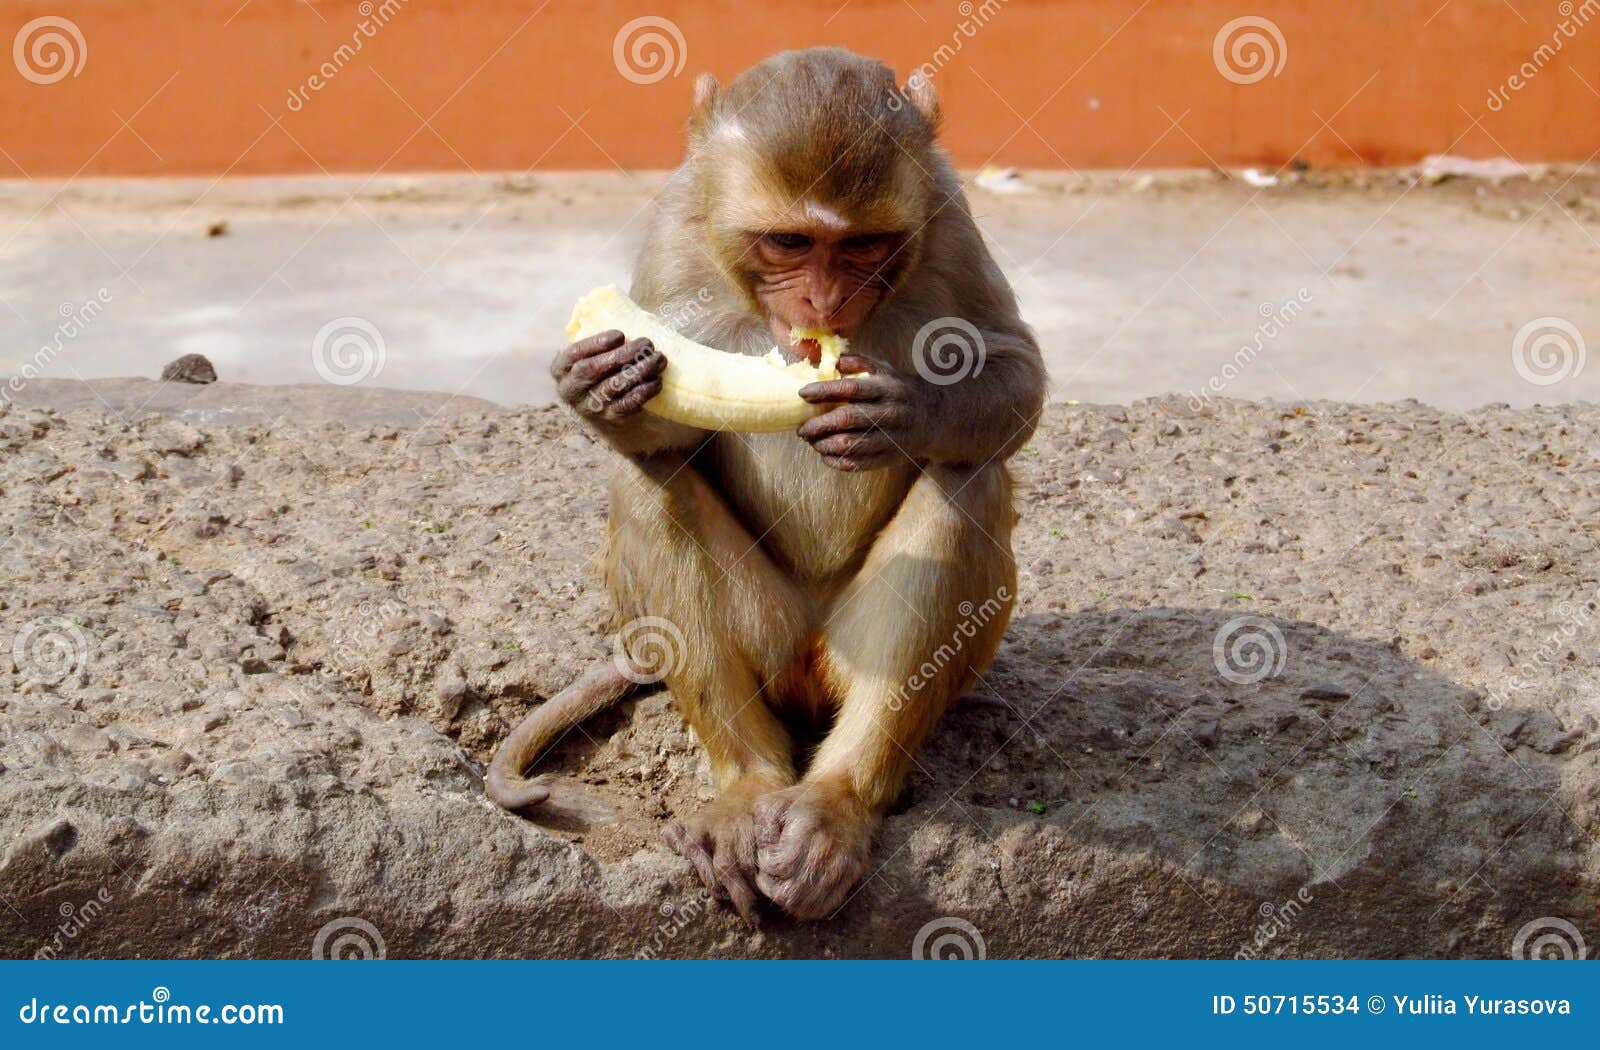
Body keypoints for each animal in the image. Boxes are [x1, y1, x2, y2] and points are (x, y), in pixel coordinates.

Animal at [488, 47, 1045, 922]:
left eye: (864, 245)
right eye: (789, 242)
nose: (824, 302)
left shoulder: (948, 217)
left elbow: (1017, 373)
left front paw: (906, 413)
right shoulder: (674, 230)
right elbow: (666, 435)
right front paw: (599, 387)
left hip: (857, 647)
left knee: (969, 484)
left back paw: (834, 802)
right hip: (771, 631)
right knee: (649, 486)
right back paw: (747, 792)